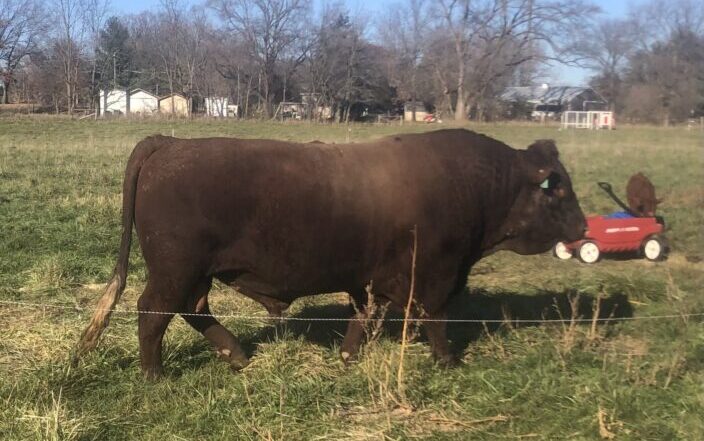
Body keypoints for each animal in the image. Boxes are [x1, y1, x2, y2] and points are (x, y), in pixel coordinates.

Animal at [76, 129, 586, 378]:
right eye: (558, 189)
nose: (583, 227)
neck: (475, 184)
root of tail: (170, 143)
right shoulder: (436, 275)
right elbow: (436, 320)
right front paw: (448, 363)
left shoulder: (373, 280)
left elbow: (364, 318)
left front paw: (346, 357)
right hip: (175, 269)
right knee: (153, 313)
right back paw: (155, 376)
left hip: (193, 273)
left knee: (192, 309)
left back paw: (236, 356)